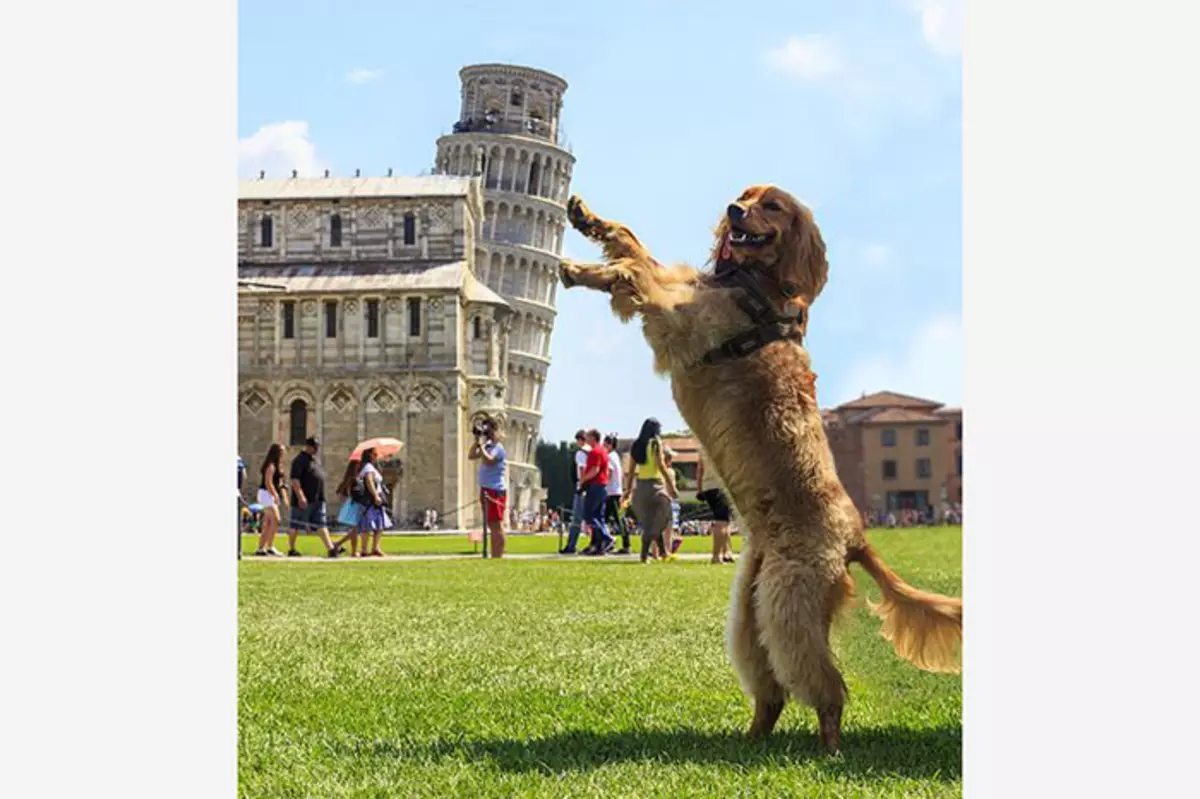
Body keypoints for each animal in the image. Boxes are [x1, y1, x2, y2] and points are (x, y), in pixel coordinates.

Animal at [556, 187, 960, 753]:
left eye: (773, 206)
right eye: (745, 196)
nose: (734, 211)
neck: (754, 287)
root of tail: (856, 537)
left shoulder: (679, 320)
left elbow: (634, 269)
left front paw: (584, 268)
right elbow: (633, 244)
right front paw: (588, 223)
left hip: (788, 606)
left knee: (826, 687)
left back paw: (828, 750)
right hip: (751, 613)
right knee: (772, 693)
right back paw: (748, 740)